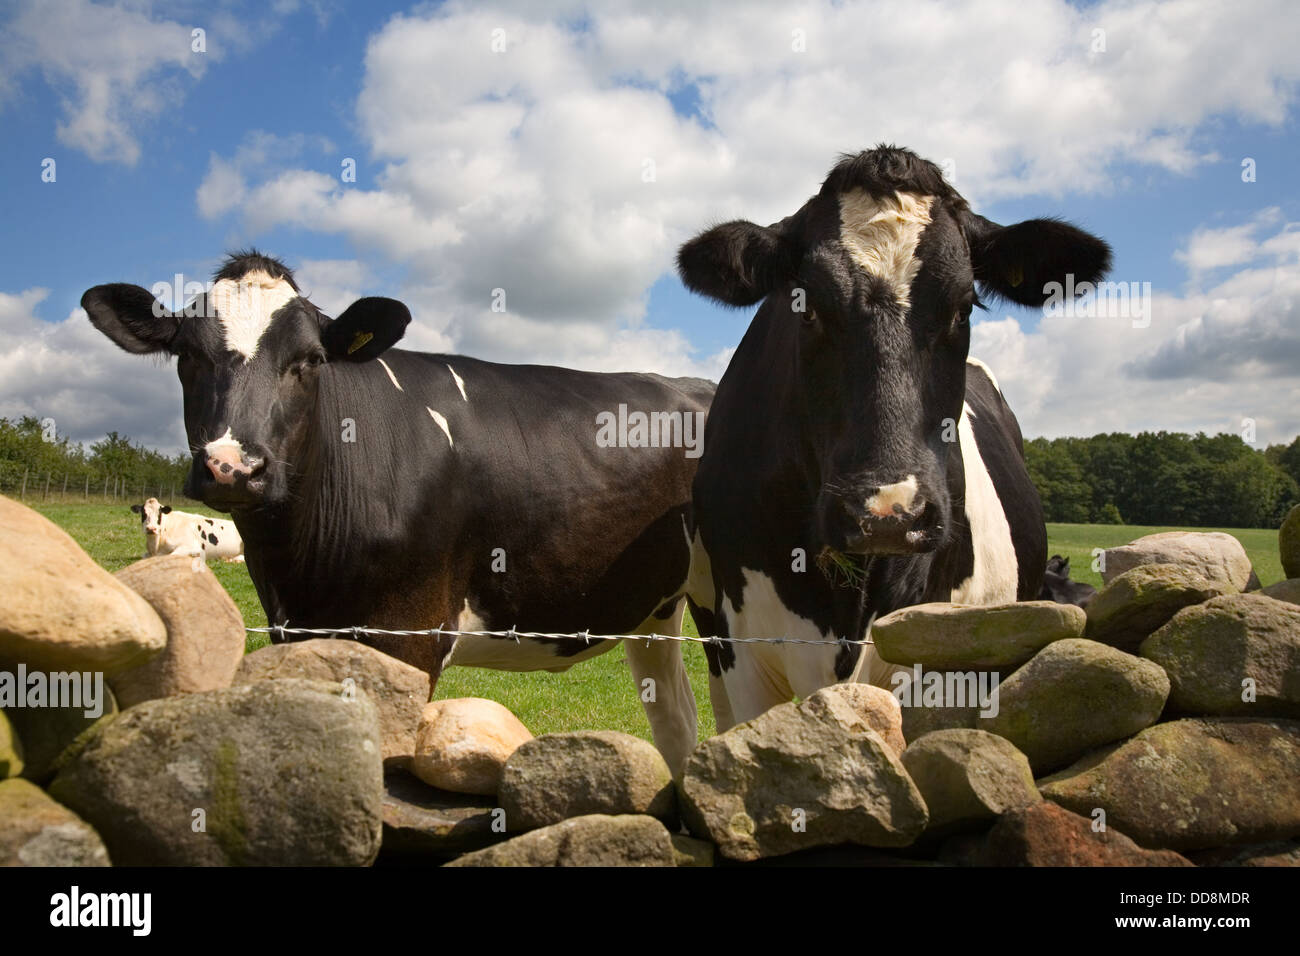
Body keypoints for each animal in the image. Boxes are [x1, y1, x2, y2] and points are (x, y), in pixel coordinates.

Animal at [84, 252, 712, 775]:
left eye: (311, 360)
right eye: (188, 355)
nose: (232, 466)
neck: (298, 568)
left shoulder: (407, 635)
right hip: (656, 608)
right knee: (679, 722)